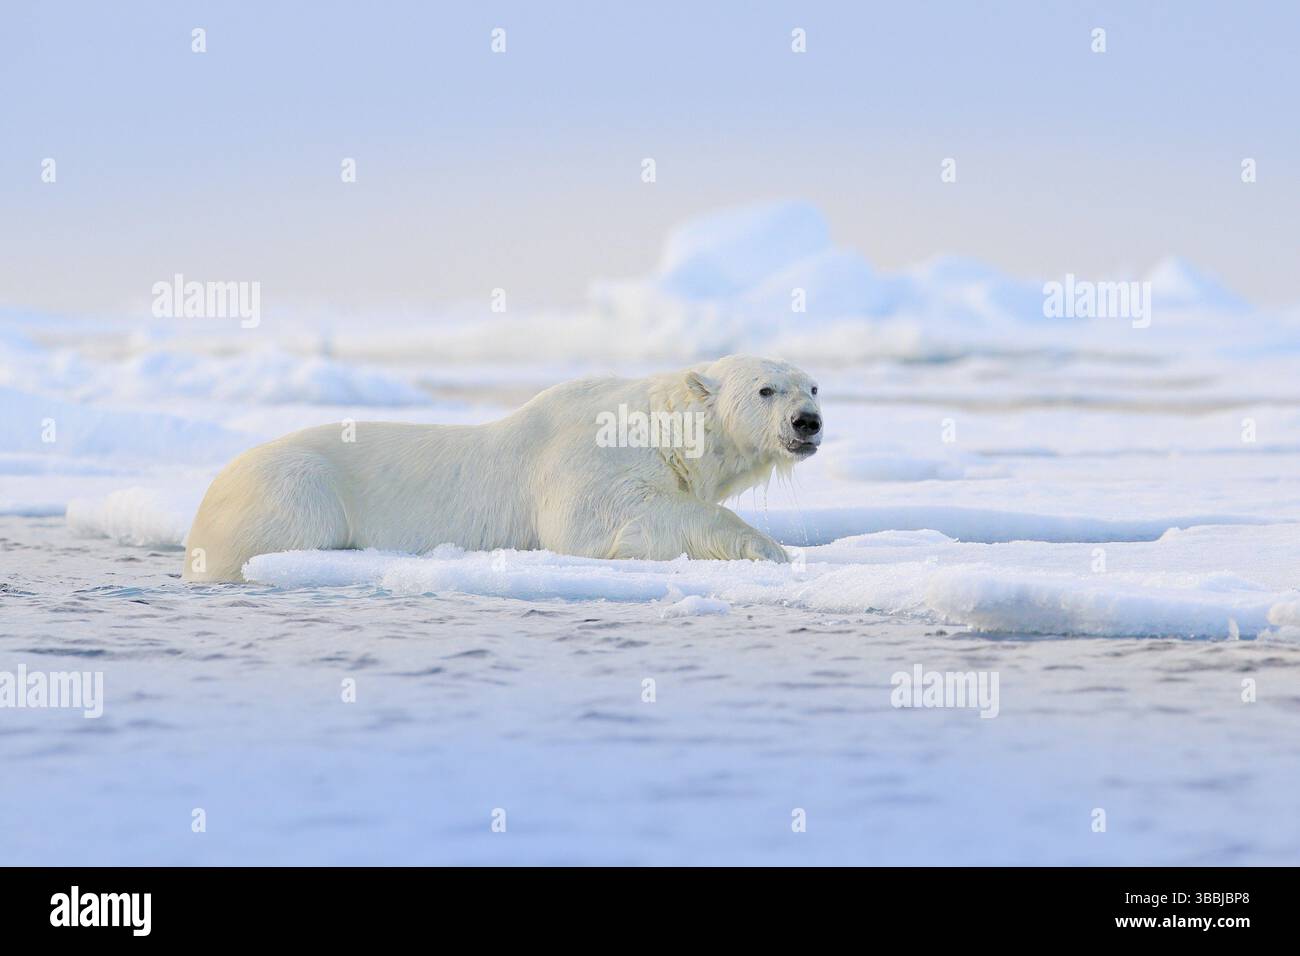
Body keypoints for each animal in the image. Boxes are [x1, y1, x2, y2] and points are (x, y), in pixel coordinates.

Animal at [182, 354, 823, 582]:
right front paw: (770, 548)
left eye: (812, 385)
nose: (808, 423)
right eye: (766, 388)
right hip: (292, 489)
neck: (661, 428)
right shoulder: (588, 459)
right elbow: (599, 524)